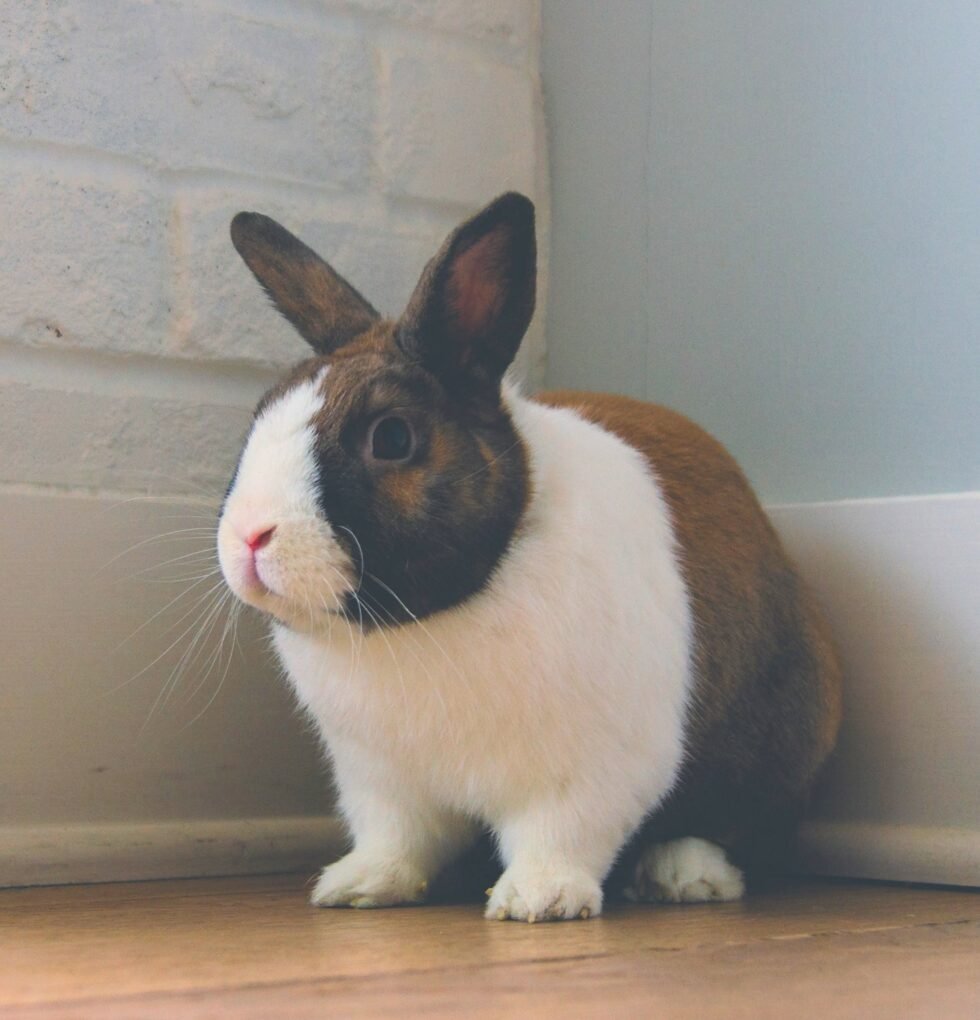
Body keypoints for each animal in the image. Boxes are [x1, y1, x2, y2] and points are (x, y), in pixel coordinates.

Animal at [217, 192, 842, 922]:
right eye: (258, 418)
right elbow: (397, 839)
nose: (250, 536)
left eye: (392, 438)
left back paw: (685, 876)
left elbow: (560, 833)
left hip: (776, 749)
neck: (423, 624)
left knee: (732, 831)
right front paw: (357, 885)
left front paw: (538, 901)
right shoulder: (381, 780)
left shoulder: (592, 768)